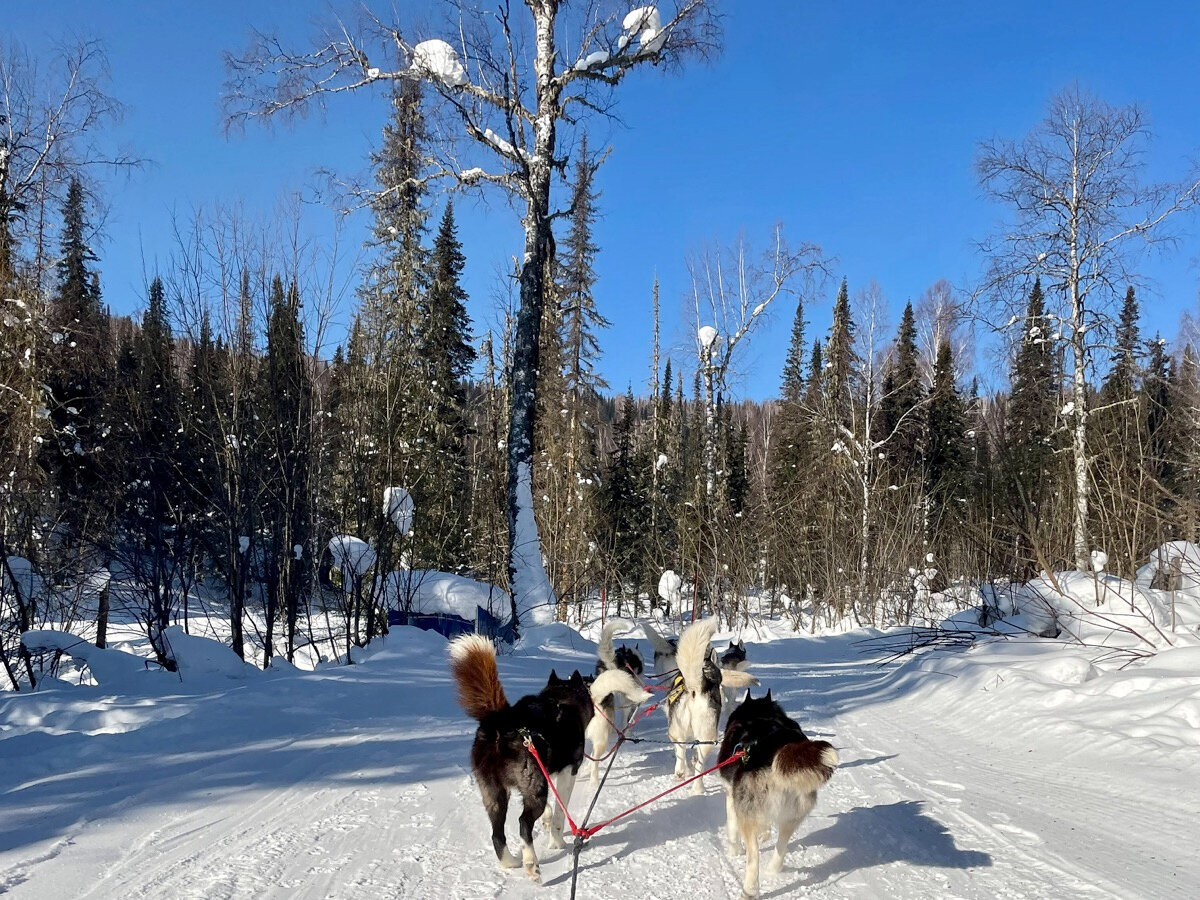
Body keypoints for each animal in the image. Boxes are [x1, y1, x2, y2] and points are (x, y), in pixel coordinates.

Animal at [451, 633, 652, 883]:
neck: (562, 699)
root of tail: (501, 721)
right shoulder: (566, 775)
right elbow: (558, 815)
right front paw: (557, 842)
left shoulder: (548, 775)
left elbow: (550, 810)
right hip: (534, 788)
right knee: (523, 823)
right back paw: (531, 865)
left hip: (496, 794)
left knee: (497, 834)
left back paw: (510, 862)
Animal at [667, 619, 758, 796]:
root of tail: (695, 688)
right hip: (707, 737)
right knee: (697, 763)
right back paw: (698, 787)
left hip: (680, 732)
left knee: (682, 753)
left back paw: (684, 775)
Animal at [715, 696, 840, 897]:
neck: (759, 713)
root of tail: (778, 747)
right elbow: (766, 829)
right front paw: (764, 835)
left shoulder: (731, 795)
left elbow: (732, 830)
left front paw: (734, 852)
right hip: (792, 817)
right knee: (781, 846)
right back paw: (773, 869)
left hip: (748, 816)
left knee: (754, 858)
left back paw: (749, 891)